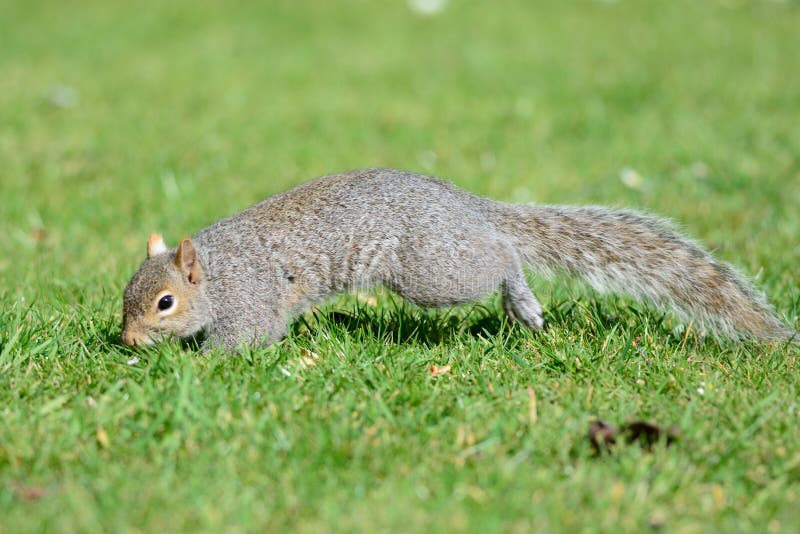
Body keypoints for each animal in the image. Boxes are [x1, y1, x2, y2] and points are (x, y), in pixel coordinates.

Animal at [122, 168, 796, 350]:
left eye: (165, 302)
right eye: (126, 294)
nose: (126, 341)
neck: (216, 272)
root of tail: (470, 205)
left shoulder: (252, 299)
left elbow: (244, 339)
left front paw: (196, 364)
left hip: (433, 270)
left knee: (501, 258)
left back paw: (523, 301)